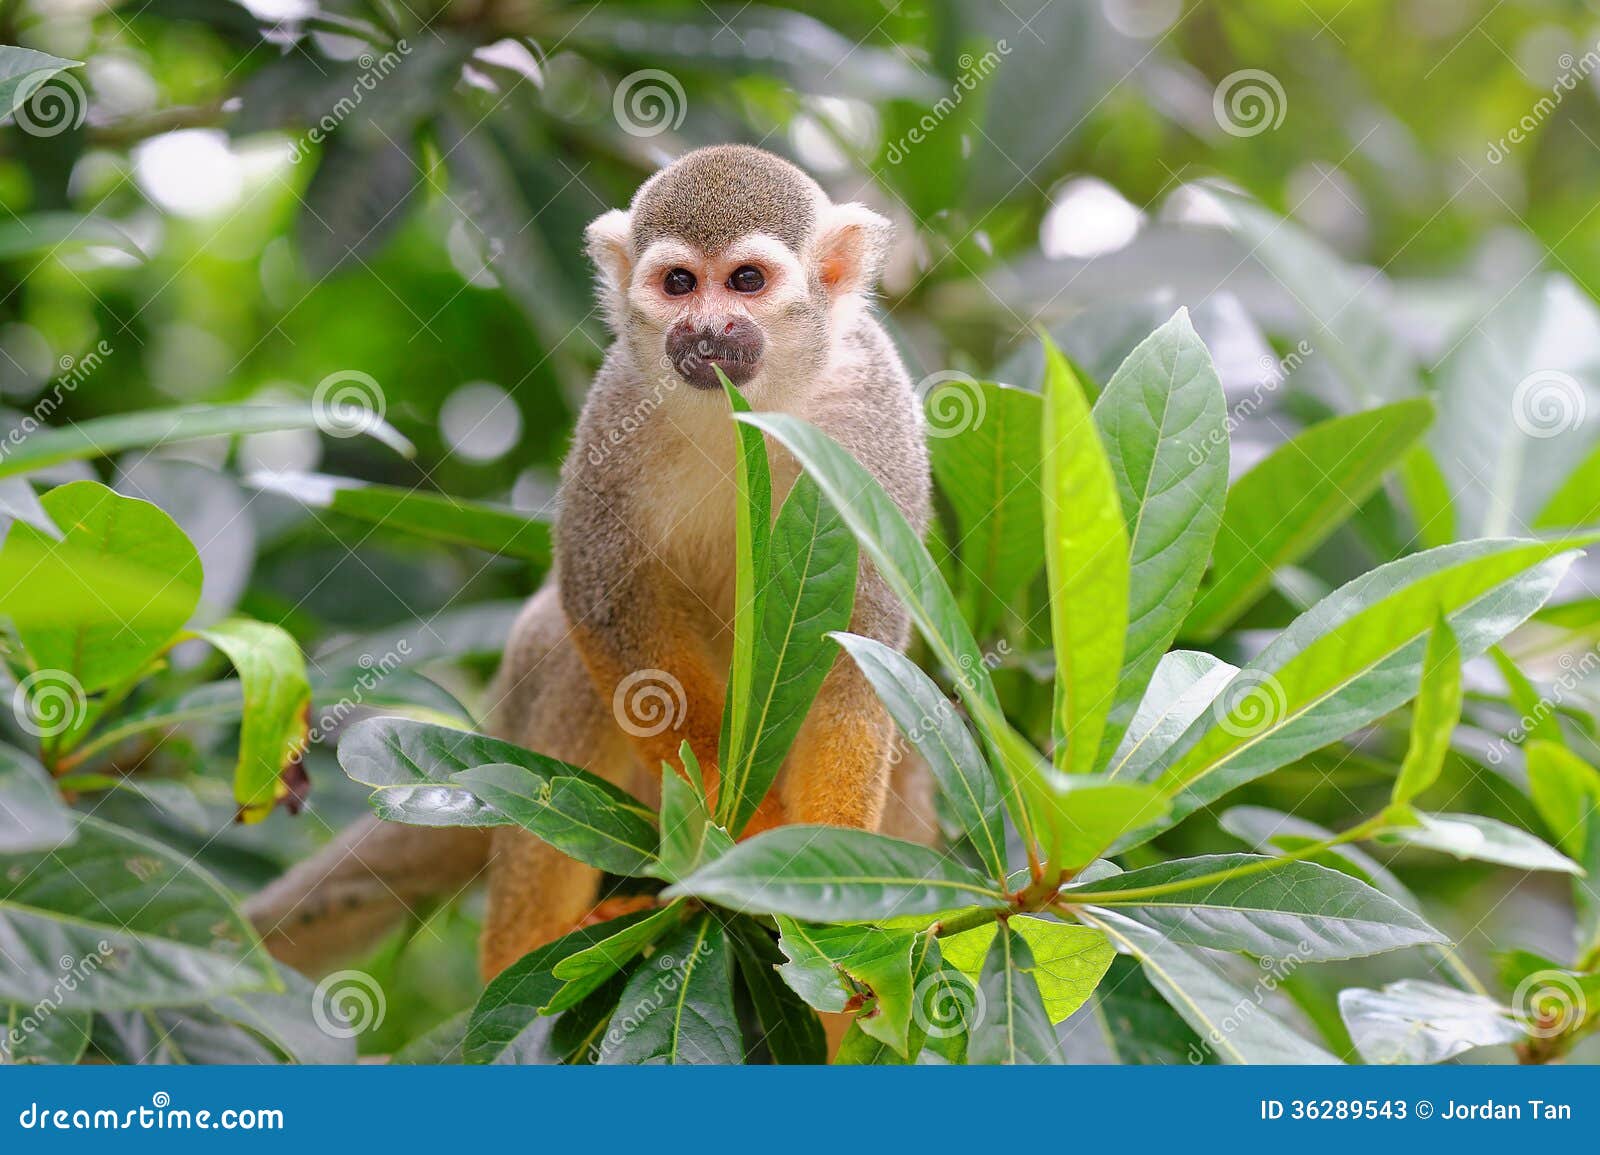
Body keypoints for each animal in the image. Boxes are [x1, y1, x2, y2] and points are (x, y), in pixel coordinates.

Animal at [245, 144, 934, 983]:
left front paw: (822, 891)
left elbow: (857, 651)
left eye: (745, 281)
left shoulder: (874, 416)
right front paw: (746, 827)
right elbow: (603, 605)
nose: (704, 331)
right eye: (679, 284)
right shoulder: (617, 404)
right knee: (563, 662)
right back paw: (529, 951)